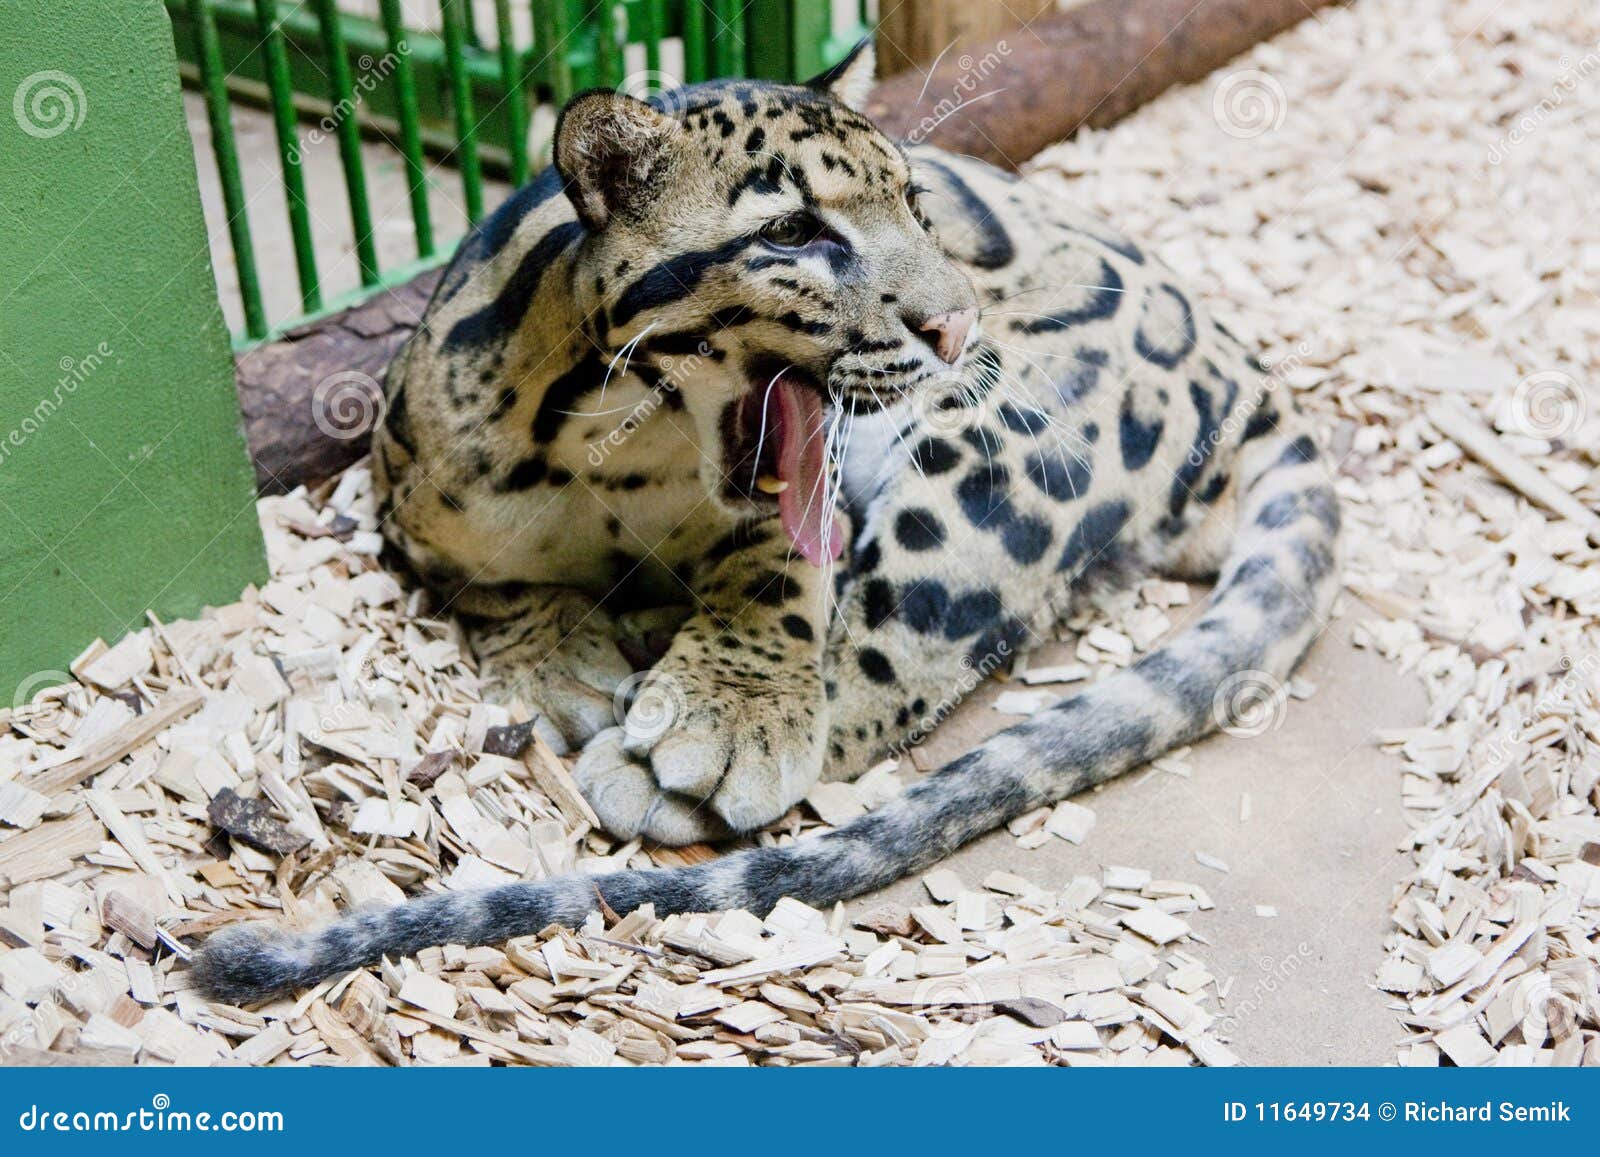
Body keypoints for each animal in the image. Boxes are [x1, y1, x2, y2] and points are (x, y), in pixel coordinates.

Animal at [195, 43, 1340, 1003]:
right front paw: (559, 656)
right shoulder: (407, 491)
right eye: (793, 232)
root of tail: (1252, 381)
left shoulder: (799, 514)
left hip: (995, 462)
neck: (605, 451)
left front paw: (723, 721)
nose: (957, 321)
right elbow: (498, 581)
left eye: (916, 205)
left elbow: (778, 588)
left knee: (880, 668)